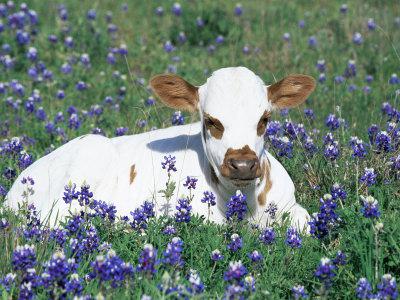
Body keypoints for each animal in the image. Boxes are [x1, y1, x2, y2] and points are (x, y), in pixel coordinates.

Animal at [3, 66, 316, 230]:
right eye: (211, 121)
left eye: (264, 119)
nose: (242, 164)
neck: (244, 199)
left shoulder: (293, 209)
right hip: (89, 155)